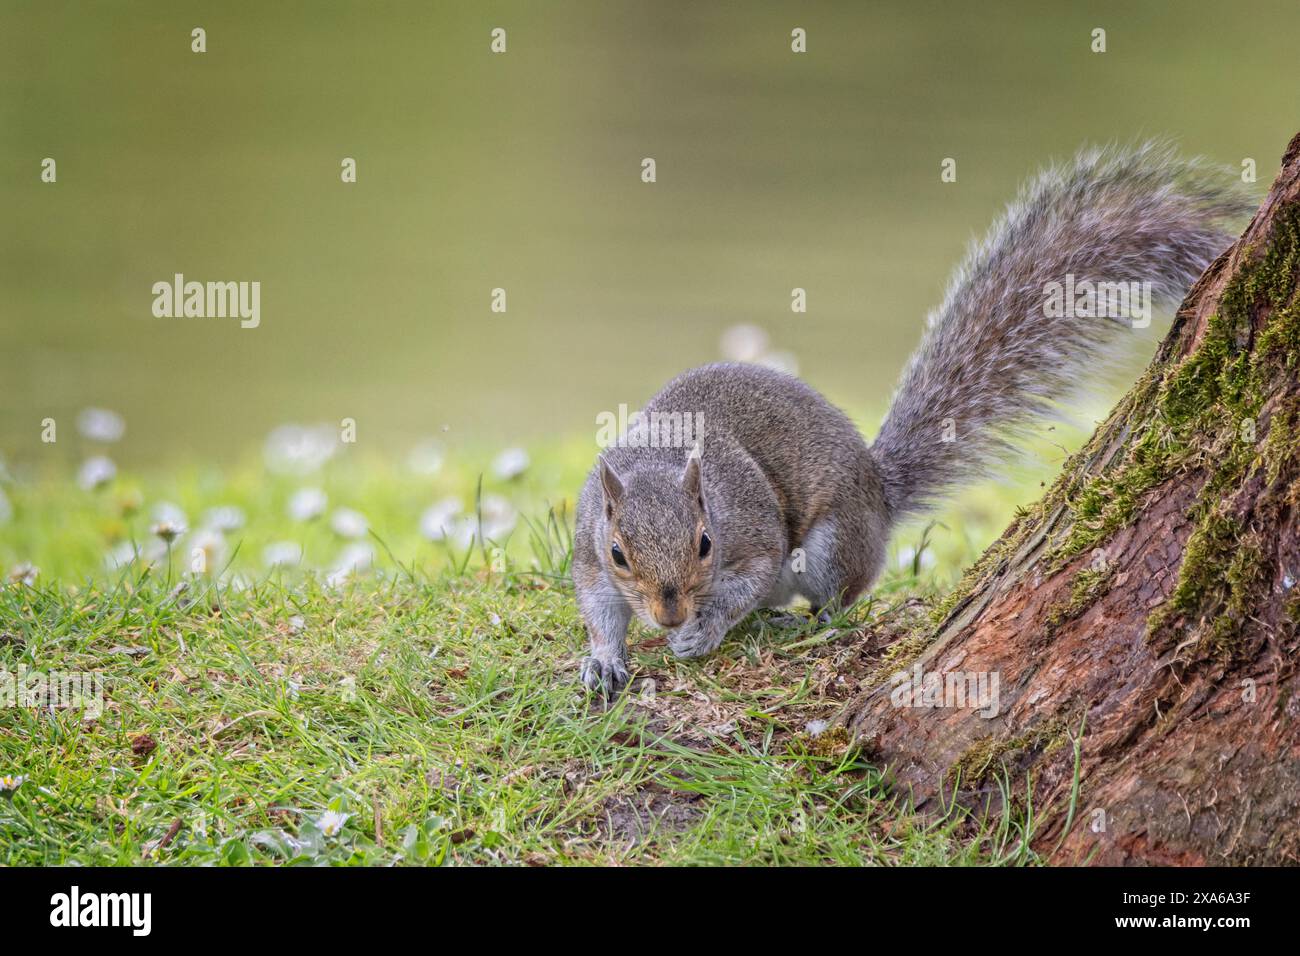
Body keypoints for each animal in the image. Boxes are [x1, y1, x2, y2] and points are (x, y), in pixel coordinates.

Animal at [573, 142, 1252, 695]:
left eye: (706, 542)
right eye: (618, 552)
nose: (669, 616)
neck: (666, 458)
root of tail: (879, 490)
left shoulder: (753, 536)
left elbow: (744, 584)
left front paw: (702, 631)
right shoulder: (587, 552)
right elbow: (597, 608)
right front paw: (604, 660)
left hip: (832, 545)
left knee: (843, 593)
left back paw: (810, 621)